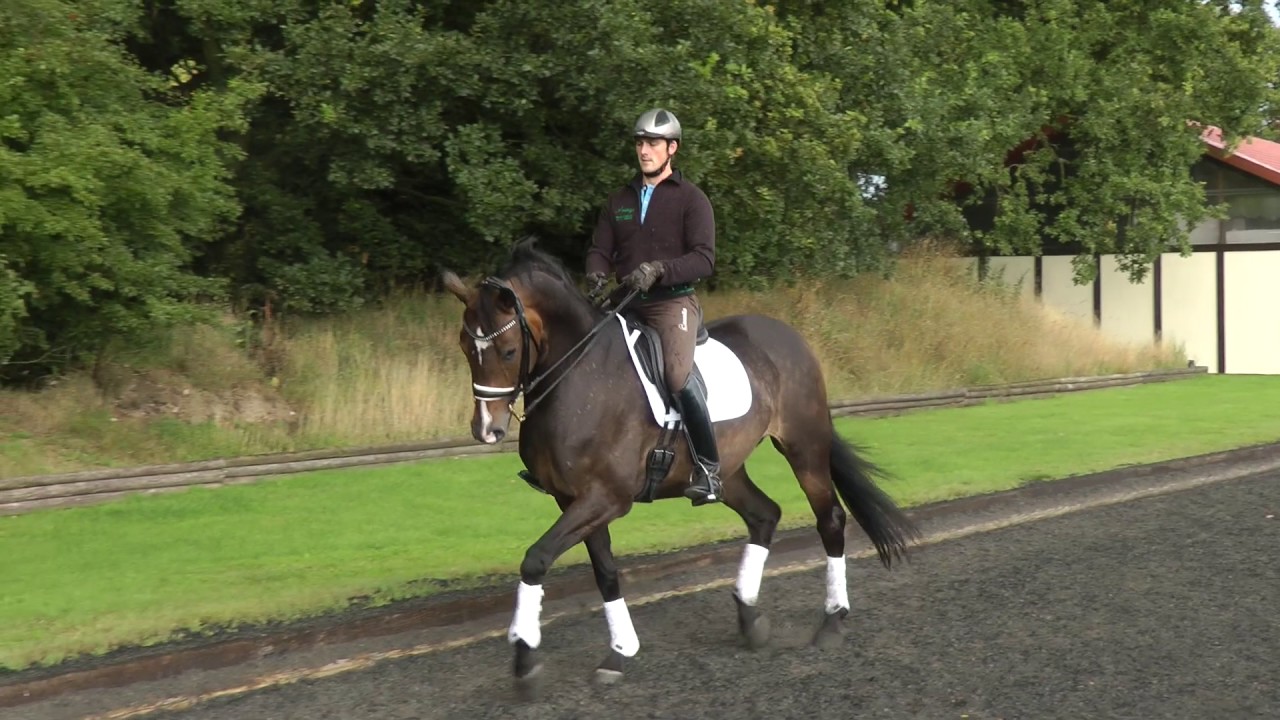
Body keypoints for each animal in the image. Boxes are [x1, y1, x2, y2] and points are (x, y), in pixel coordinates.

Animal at [441, 241, 918, 690]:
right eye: (465, 346)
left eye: (507, 351)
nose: (486, 429)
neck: (580, 374)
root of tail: (789, 336)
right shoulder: (572, 499)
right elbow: (605, 572)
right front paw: (619, 652)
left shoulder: (606, 497)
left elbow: (536, 560)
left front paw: (524, 655)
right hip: (728, 470)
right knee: (764, 515)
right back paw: (749, 618)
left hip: (804, 447)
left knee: (830, 519)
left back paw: (832, 621)